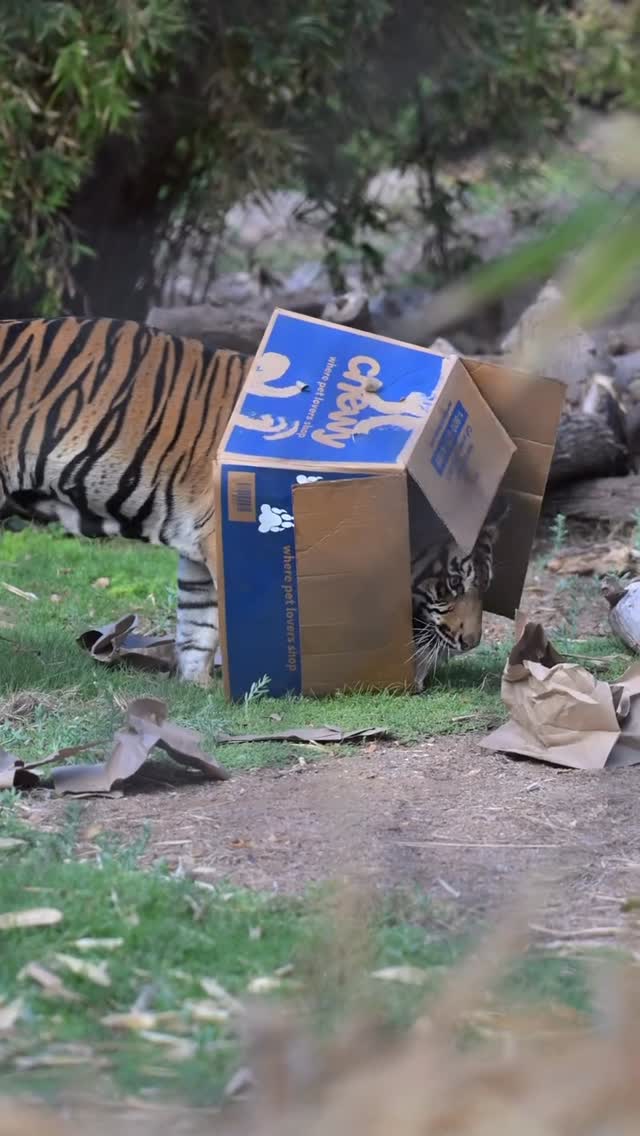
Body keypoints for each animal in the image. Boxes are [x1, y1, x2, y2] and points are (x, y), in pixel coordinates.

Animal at [0, 316, 507, 692]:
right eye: (452, 584)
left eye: (485, 584)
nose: (471, 642)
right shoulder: (219, 544)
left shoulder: (196, 547)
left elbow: (197, 622)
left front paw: (197, 688)